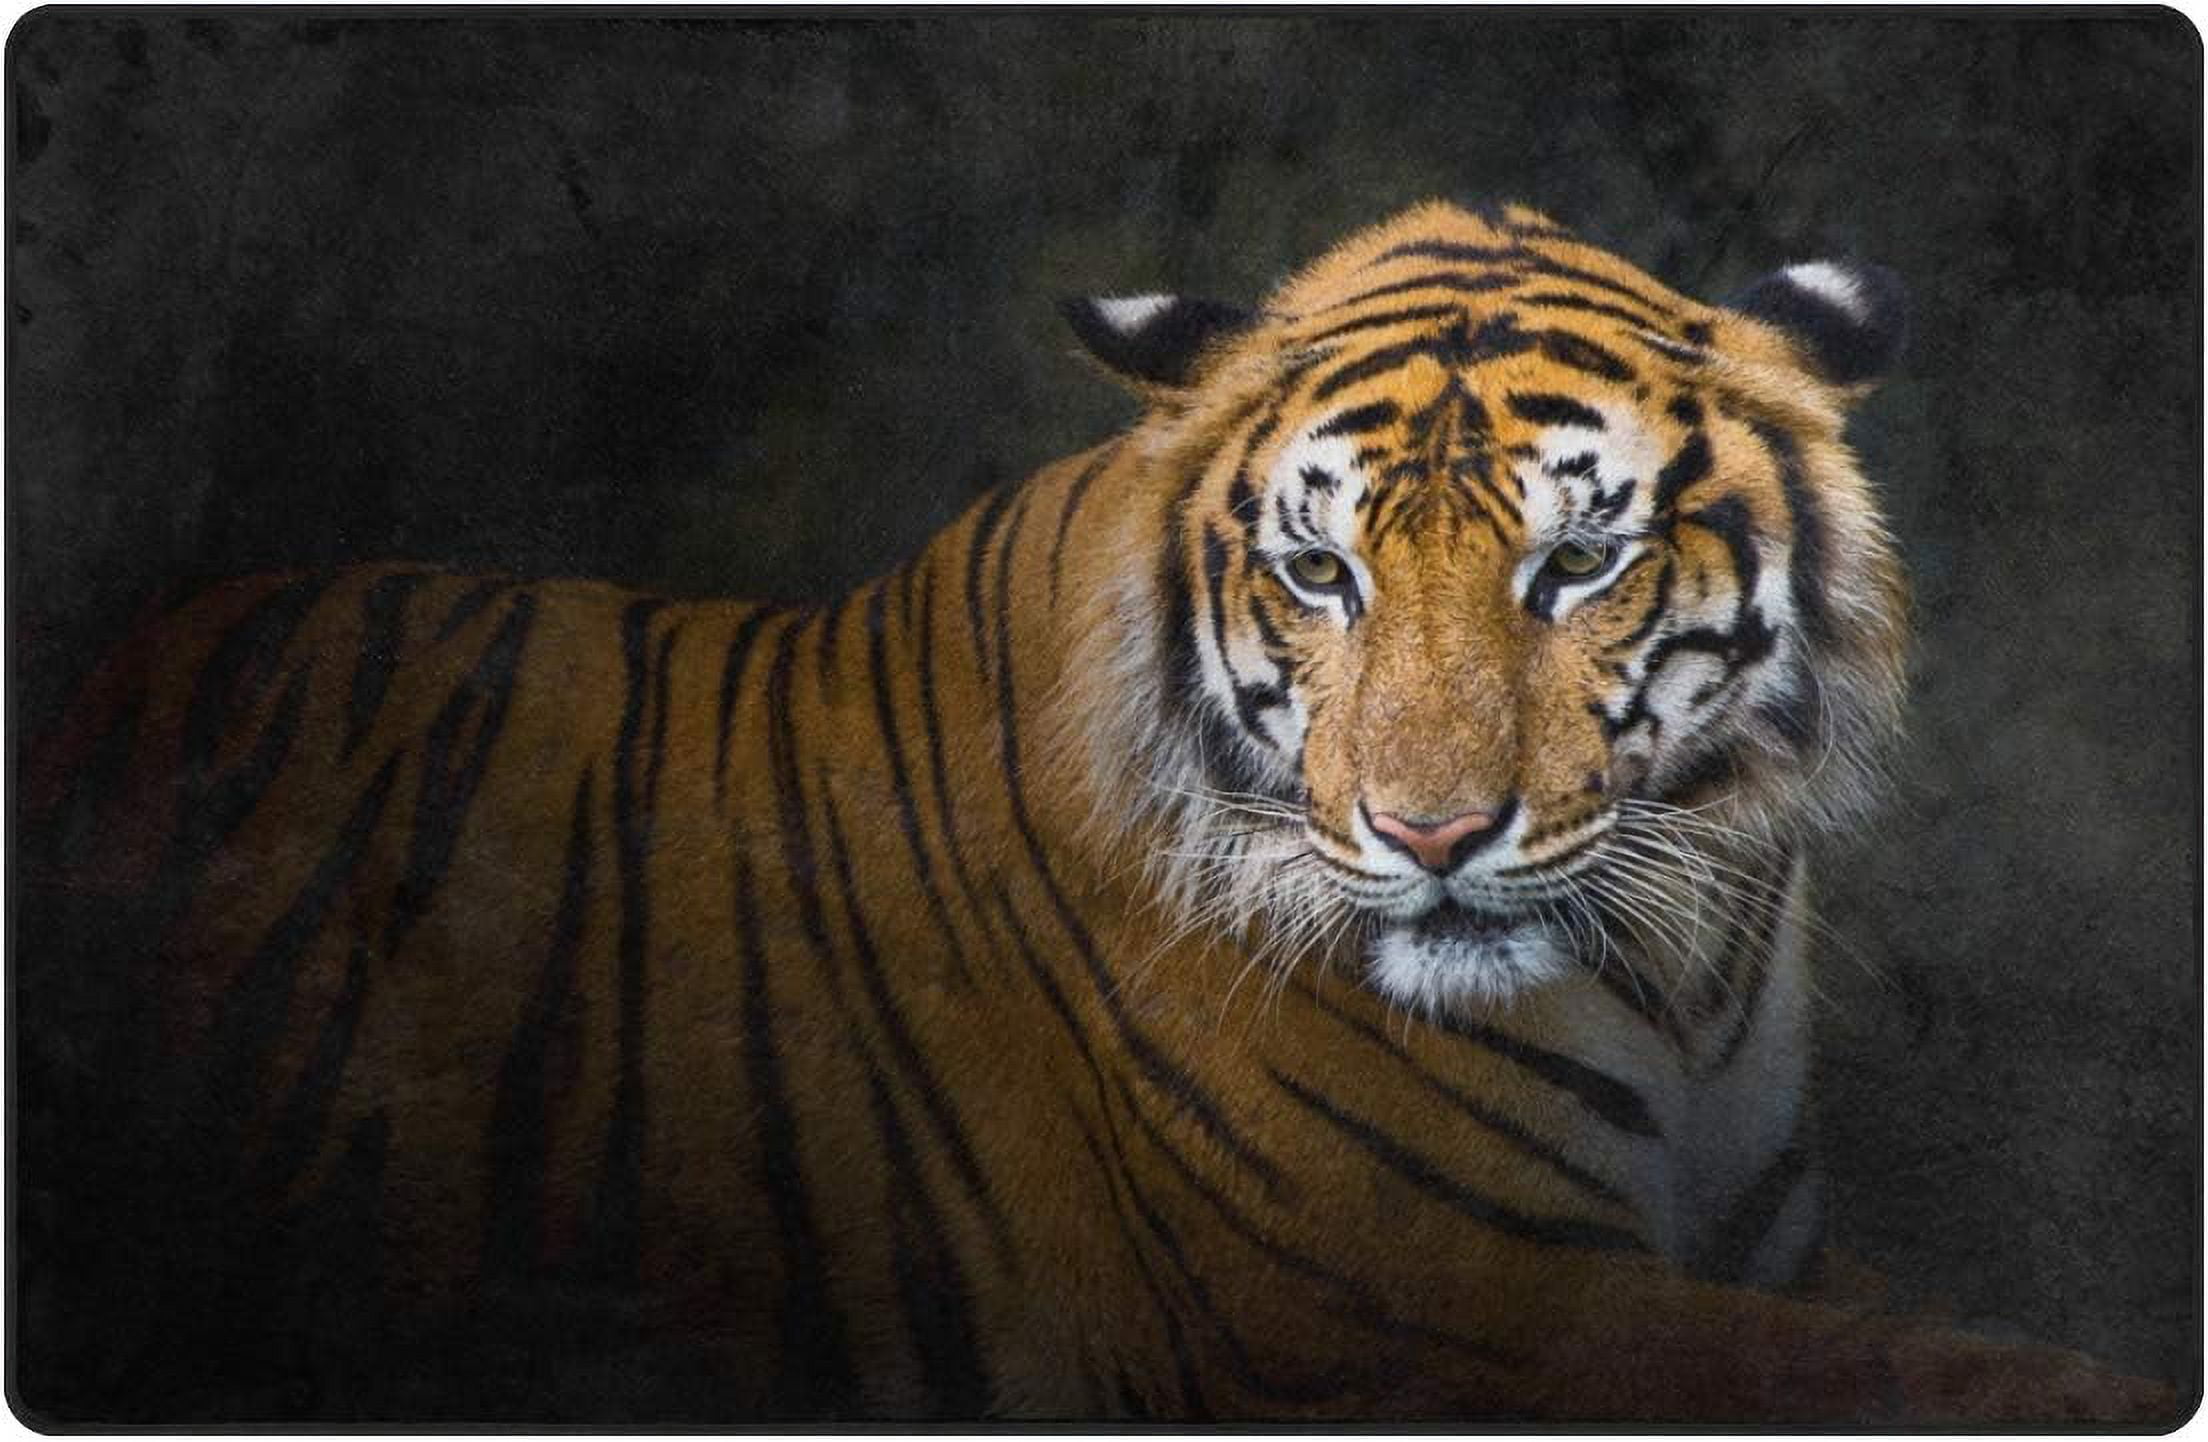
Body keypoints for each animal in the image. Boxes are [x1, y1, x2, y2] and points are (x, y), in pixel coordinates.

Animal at [17, 200, 2175, 1424]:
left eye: (1576, 565)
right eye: (1319, 576)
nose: (1430, 840)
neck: (1681, 962)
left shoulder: (1757, 1251)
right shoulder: (1431, 1306)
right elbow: (1932, 1372)